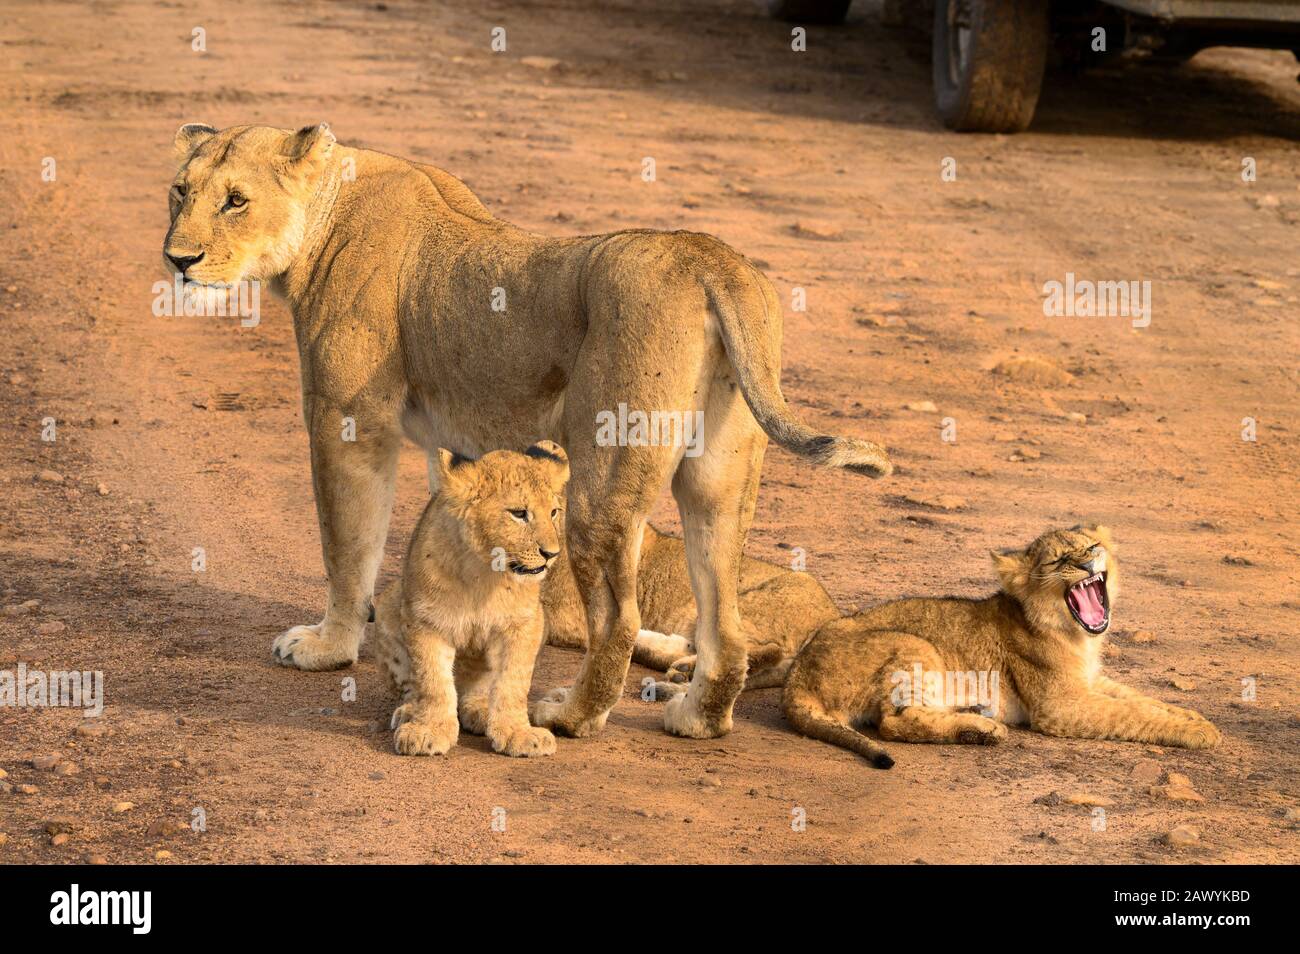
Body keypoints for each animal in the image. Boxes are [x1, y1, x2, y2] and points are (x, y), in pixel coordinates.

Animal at [372, 441, 569, 758]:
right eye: (519, 513)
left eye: (553, 512)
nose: (552, 554)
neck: (486, 572)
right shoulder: (425, 621)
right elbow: (432, 681)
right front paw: (429, 730)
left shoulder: (524, 624)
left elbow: (513, 682)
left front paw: (518, 733)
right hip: (389, 605)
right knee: (414, 686)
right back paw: (410, 711)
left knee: (476, 689)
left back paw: (481, 711)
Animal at [782, 526, 1221, 769]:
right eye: (1058, 560)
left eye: (1092, 546)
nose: (1085, 564)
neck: (1075, 635)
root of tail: (796, 676)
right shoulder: (1058, 706)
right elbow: (1128, 714)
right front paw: (1200, 733)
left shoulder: (1089, 681)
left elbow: (1141, 699)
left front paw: (1194, 717)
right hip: (912, 644)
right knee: (894, 723)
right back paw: (983, 729)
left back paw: (973, 713)